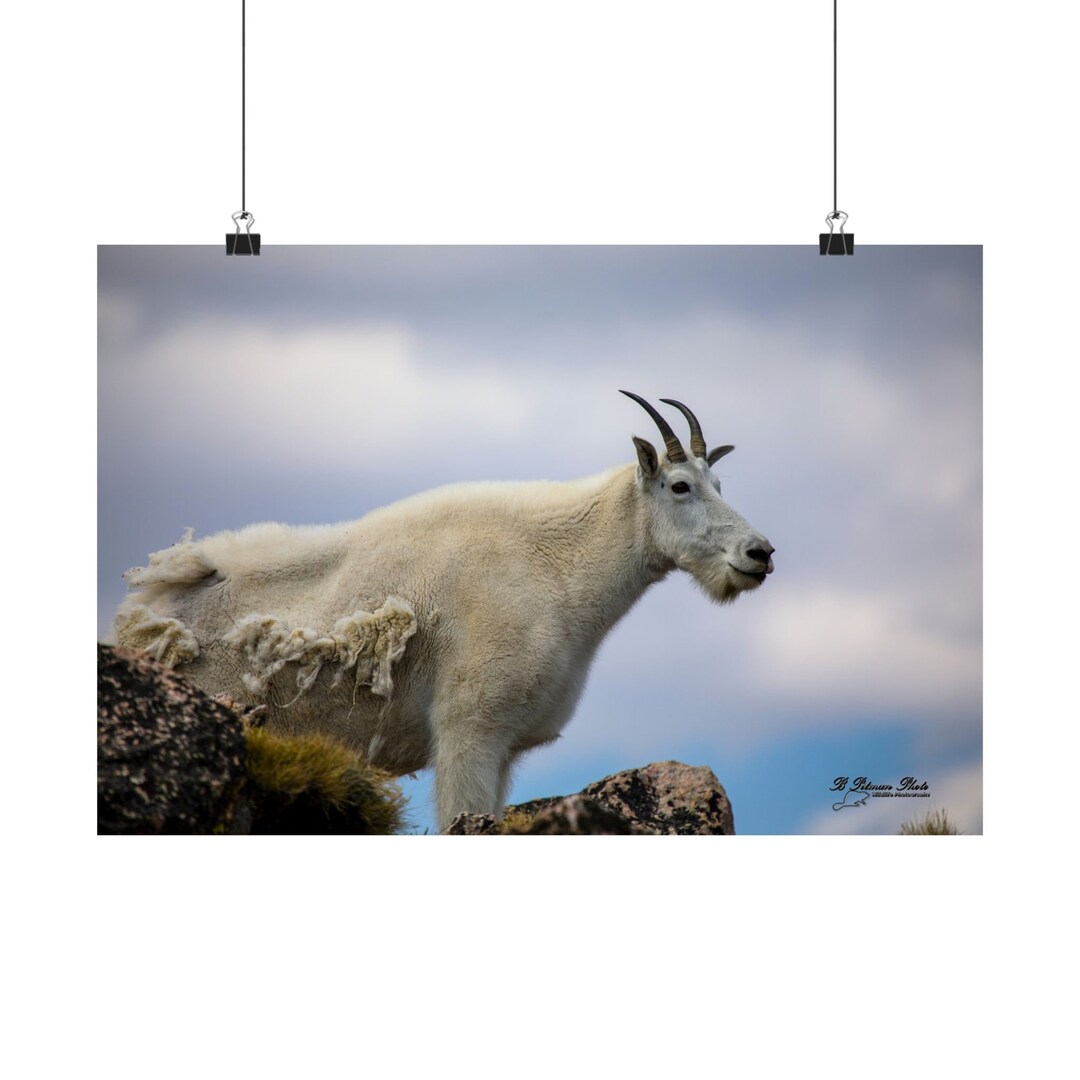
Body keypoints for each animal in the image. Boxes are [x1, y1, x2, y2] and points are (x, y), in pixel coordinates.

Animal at [114, 392, 775, 831]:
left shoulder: (504, 746)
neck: (561, 567)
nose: (759, 553)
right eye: (681, 487)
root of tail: (137, 619)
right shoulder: (469, 729)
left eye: (719, 483)